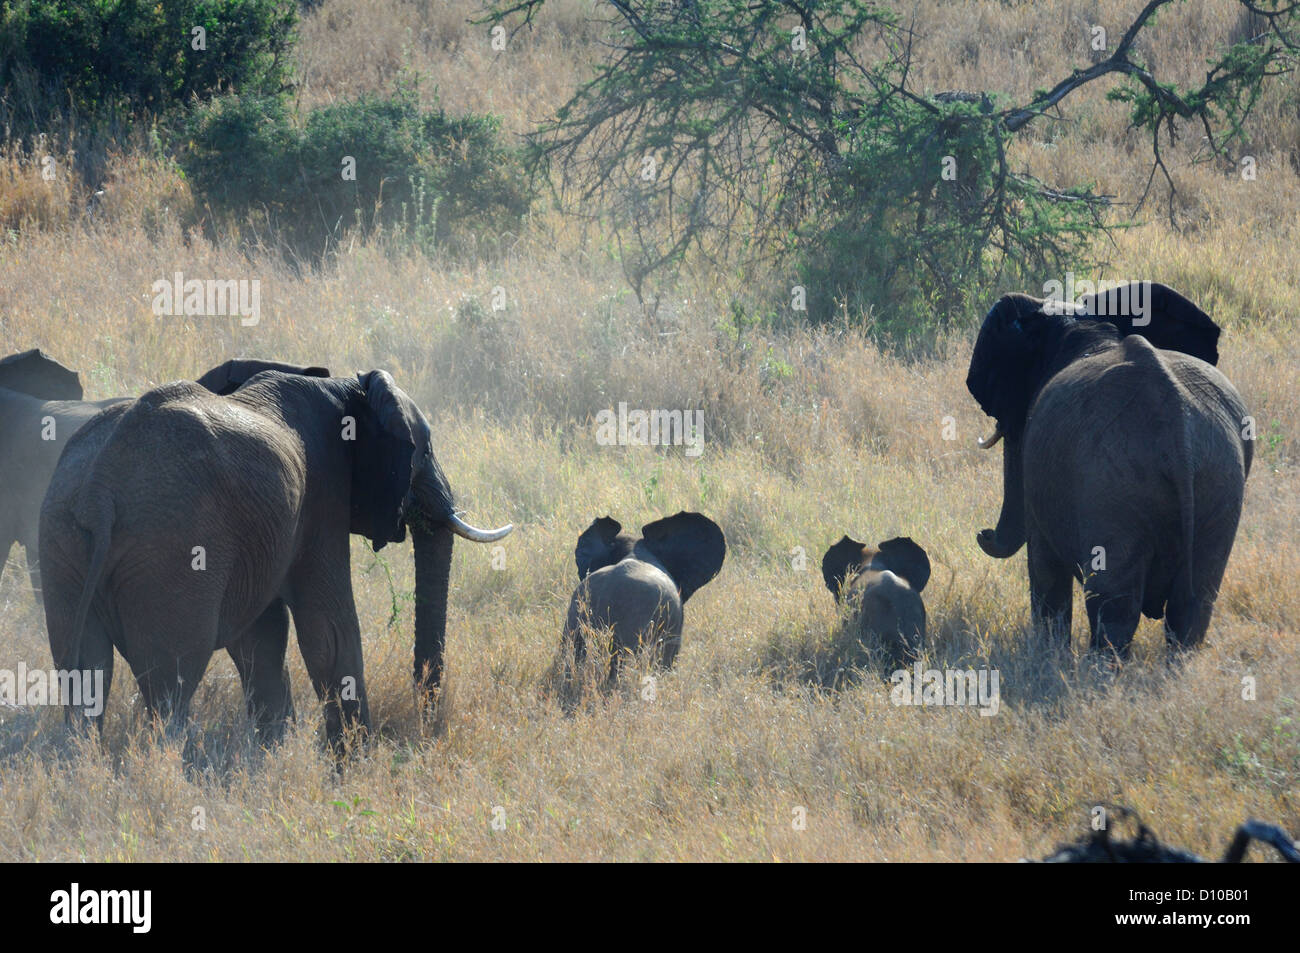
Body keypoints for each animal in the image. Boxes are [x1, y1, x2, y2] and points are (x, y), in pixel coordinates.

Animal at [39, 368, 511, 749]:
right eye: (424, 452)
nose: (427, 724)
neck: (348, 386)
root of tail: (101, 487)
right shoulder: (323, 499)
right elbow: (330, 631)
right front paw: (354, 762)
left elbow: (261, 638)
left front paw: (276, 754)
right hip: (171, 551)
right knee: (170, 684)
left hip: (62, 543)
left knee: (85, 676)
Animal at [965, 281, 1252, 658]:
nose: (982, 533)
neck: (1083, 324)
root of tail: (1176, 427)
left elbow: (1044, 566)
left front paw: (1048, 656)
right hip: (1220, 479)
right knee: (1193, 602)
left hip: (1112, 488)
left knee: (1114, 602)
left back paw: (1099, 667)